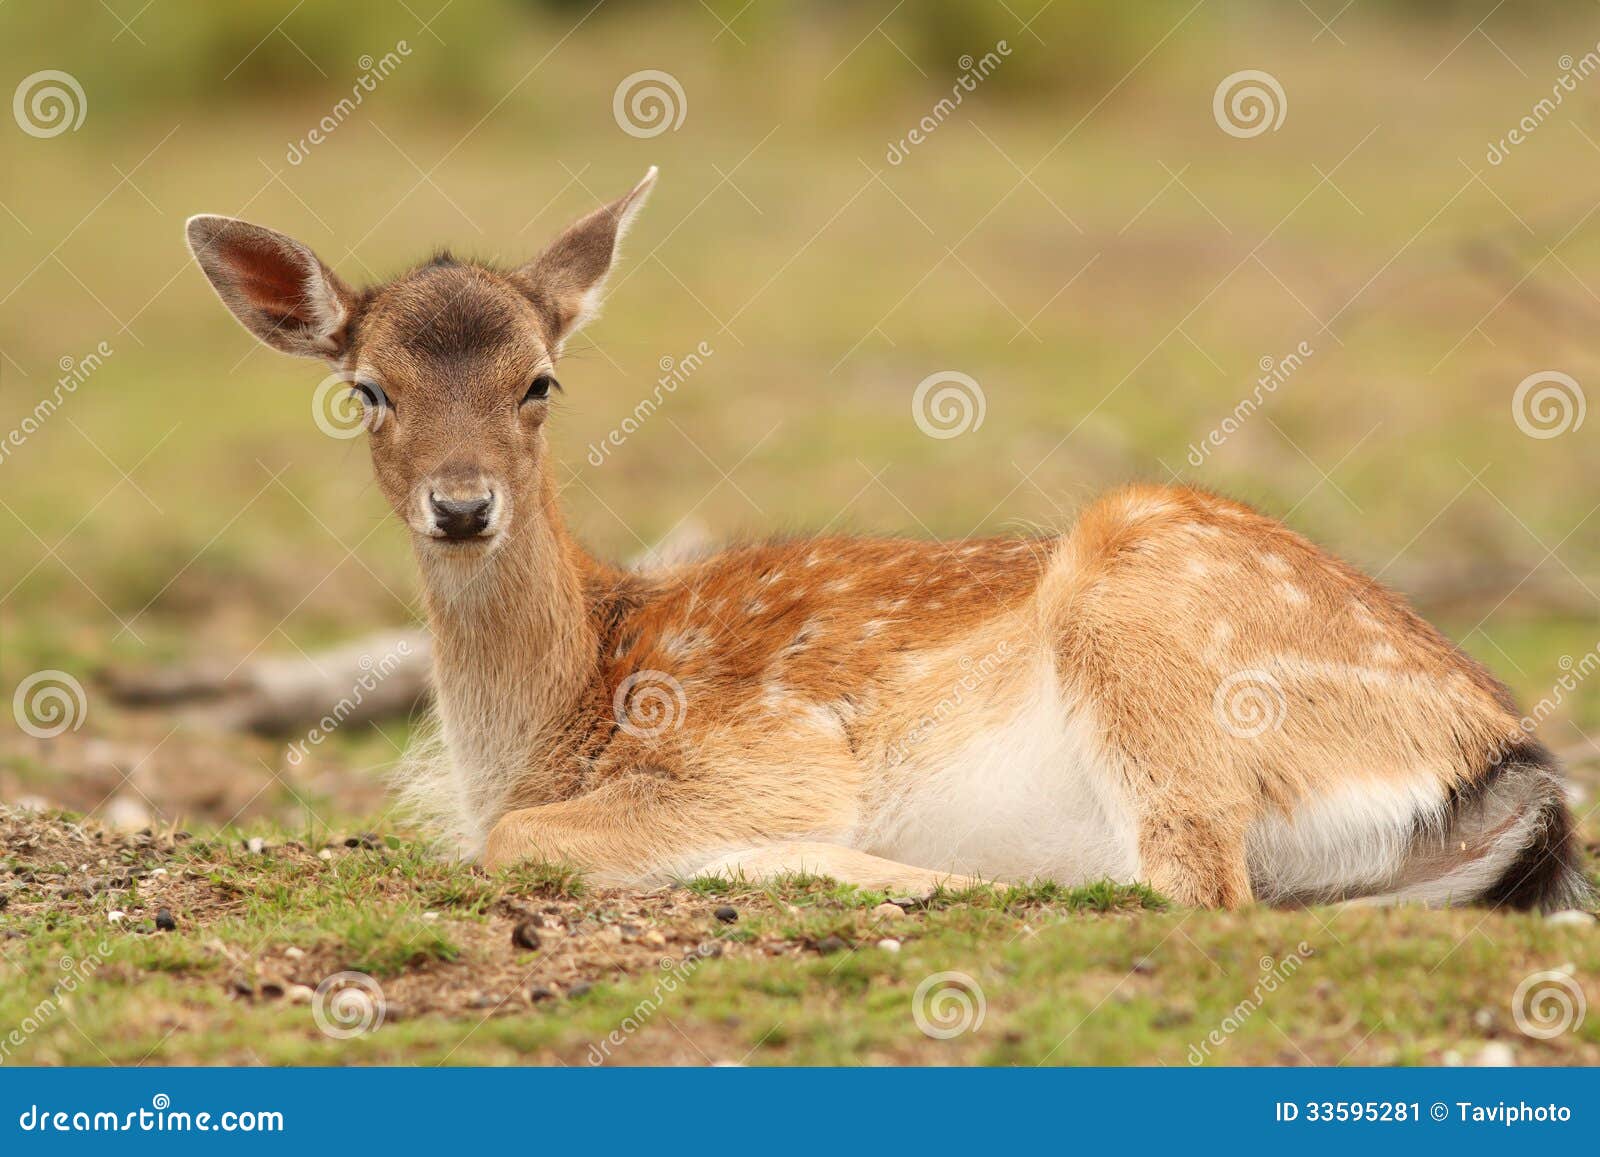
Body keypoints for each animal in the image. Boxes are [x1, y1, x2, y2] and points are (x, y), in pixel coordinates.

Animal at [184, 168, 1591, 911]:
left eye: (541, 379)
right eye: (366, 388)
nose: (464, 504)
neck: (556, 710)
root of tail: (1509, 762)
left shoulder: (761, 745)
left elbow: (519, 841)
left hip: (1143, 618)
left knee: (1175, 883)